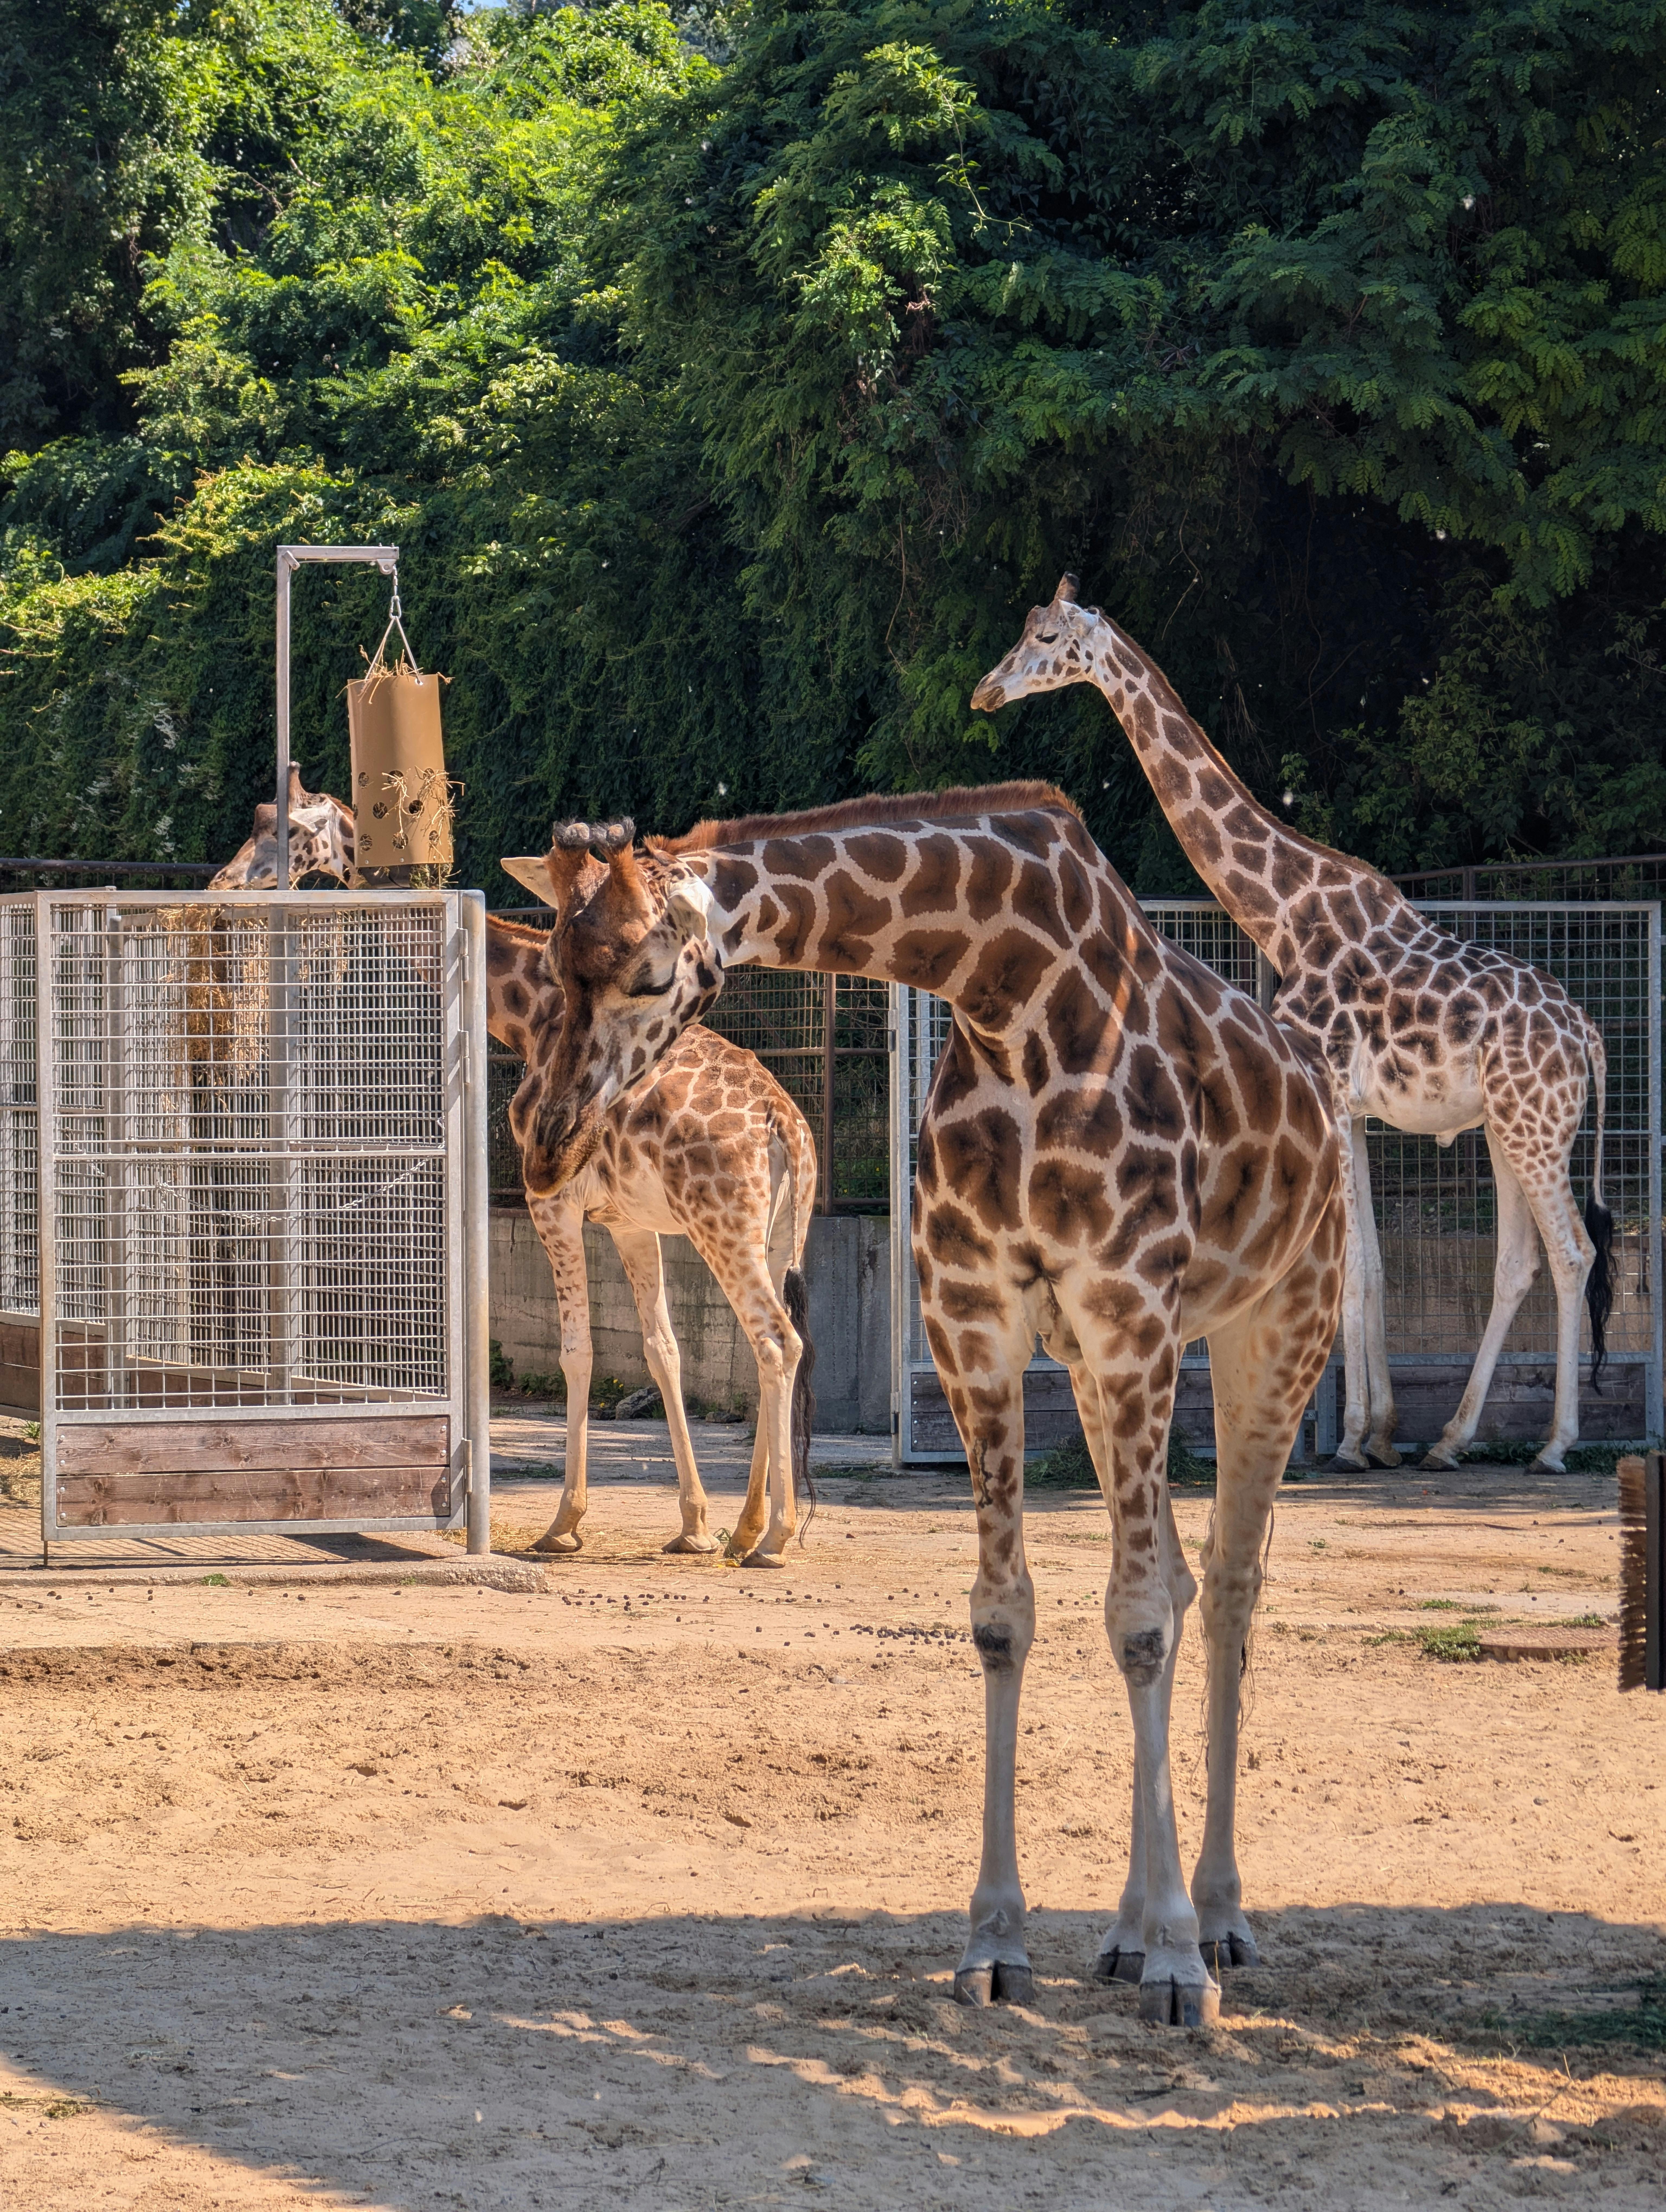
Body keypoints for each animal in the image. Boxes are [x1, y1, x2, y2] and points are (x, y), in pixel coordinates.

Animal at [211, 785, 820, 1561]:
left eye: (288, 829)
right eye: (259, 818)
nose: (226, 884)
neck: (529, 1015)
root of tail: (785, 1127)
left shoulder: (548, 1198)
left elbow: (578, 1352)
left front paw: (564, 1523)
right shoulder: (629, 1222)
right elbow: (663, 1351)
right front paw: (692, 1524)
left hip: (723, 1227)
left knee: (777, 1339)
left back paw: (775, 1534)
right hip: (775, 1232)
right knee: (773, 1341)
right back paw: (746, 1526)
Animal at [516, 789, 1346, 2024]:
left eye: (649, 974)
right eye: (557, 964)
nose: (545, 1140)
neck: (1007, 989)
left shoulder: (1126, 1304)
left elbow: (1137, 1619)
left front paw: (1176, 1963)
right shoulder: (976, 1319)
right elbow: (1009, 1616)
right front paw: (998, 1943)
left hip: (1277, 1321)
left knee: (1230, 1586)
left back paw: (1215, 1921)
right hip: (1103, 1370)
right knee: (1180, 1581)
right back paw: (1126, 1927)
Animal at [973, 580, 1614, 1476]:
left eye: (1042, 637)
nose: (985, 691)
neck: (1281, 913)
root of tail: (1587, 1034)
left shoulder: (1329, 1092)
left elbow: (1354, 1270)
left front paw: (1350, 1438)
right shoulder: (1350, 1108)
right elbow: (1370, 1266)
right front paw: (1378, 1435)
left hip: (1536, 1125)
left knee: (1572, 1253)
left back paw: (1553, 1445)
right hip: (1508, 1126)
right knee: (1520, 1262)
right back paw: (1450, 1440)